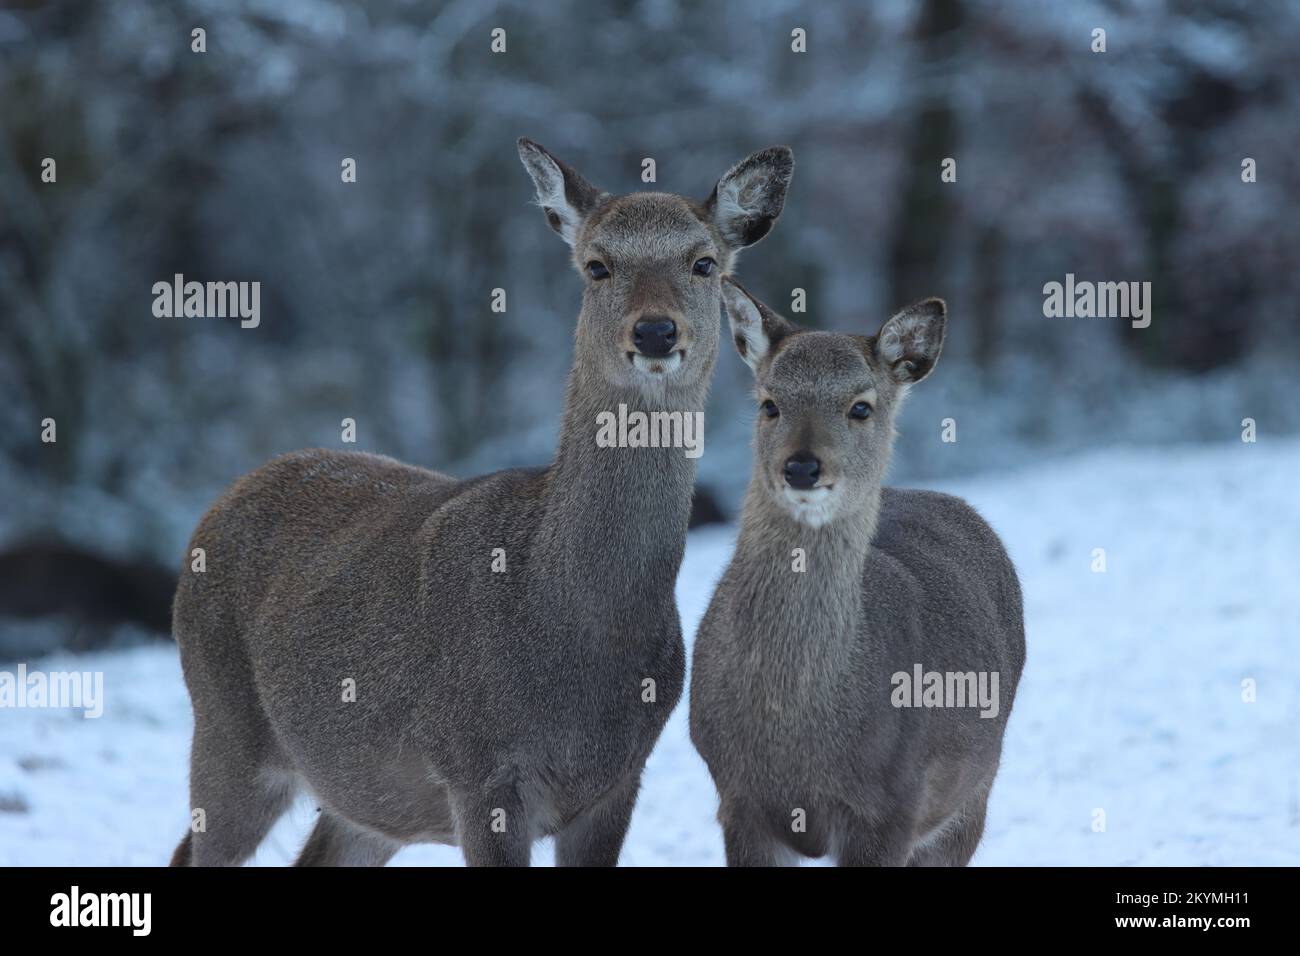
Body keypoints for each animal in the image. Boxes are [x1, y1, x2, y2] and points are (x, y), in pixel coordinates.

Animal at [168, 139, 794, 867]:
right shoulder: (477, 765)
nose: (657, 332)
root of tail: (218, 505)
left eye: (704, 263)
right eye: (597, 265)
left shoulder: (618, 781)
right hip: (224, 725)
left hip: (361, 794)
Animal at [689, 278, 1025, 866]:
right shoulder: (737, 798)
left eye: (861, 407)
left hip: (972, 796)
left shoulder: (891, 805)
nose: (801, 466)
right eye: (770, 403)